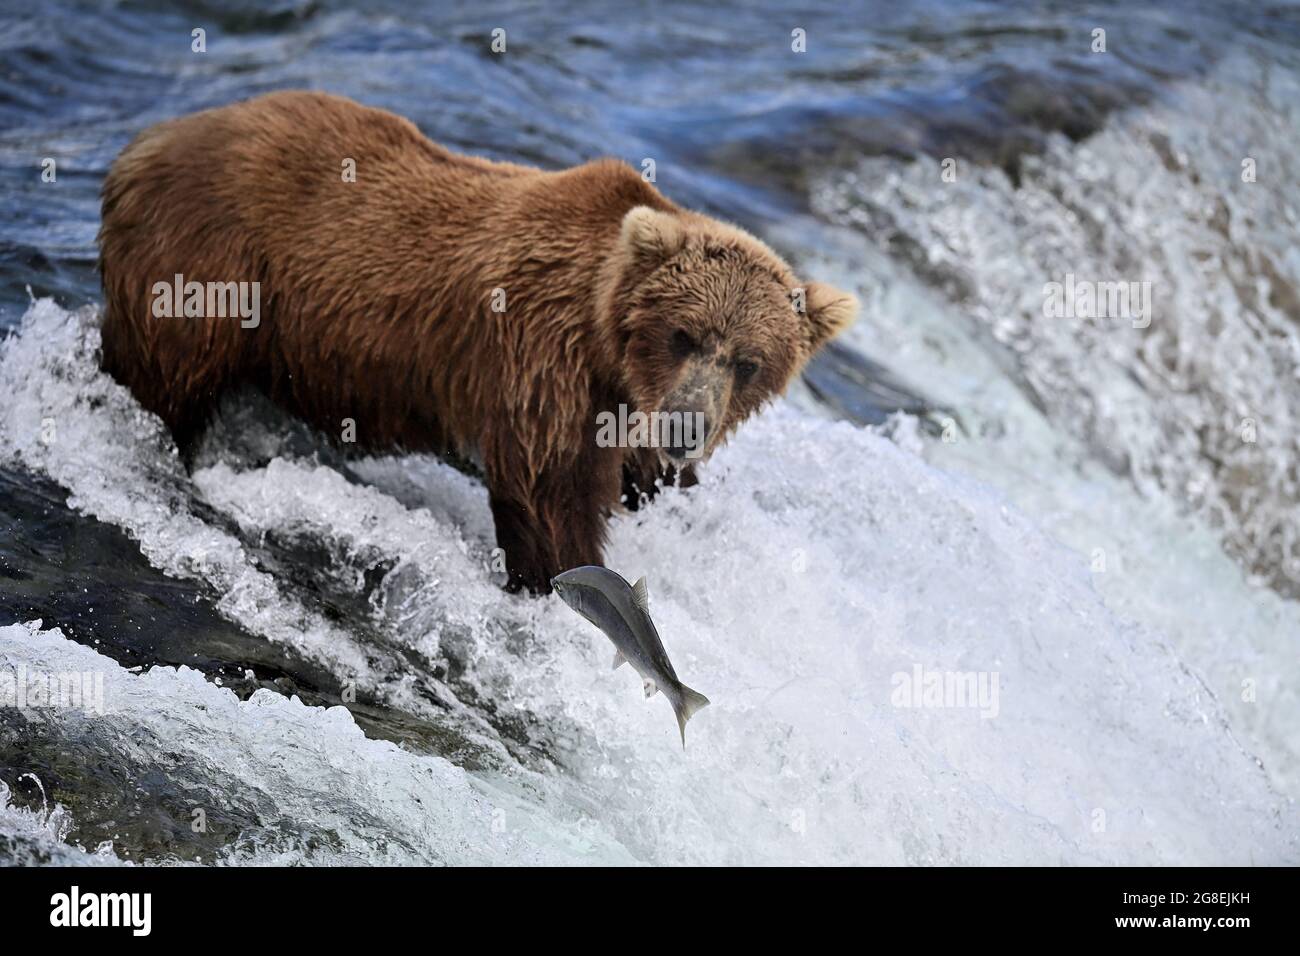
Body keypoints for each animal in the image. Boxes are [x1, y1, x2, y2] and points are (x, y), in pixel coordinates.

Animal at [97, 91, 857, 593]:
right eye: (682, 333)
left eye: (750, 361)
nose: (686, 425)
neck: (604, 344)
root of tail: (145, 143)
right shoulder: (542, 364)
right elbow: (551, 494)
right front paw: (560, 578)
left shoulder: (624, 406)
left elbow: (641, 479)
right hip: (209, 272)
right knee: (163, 378)